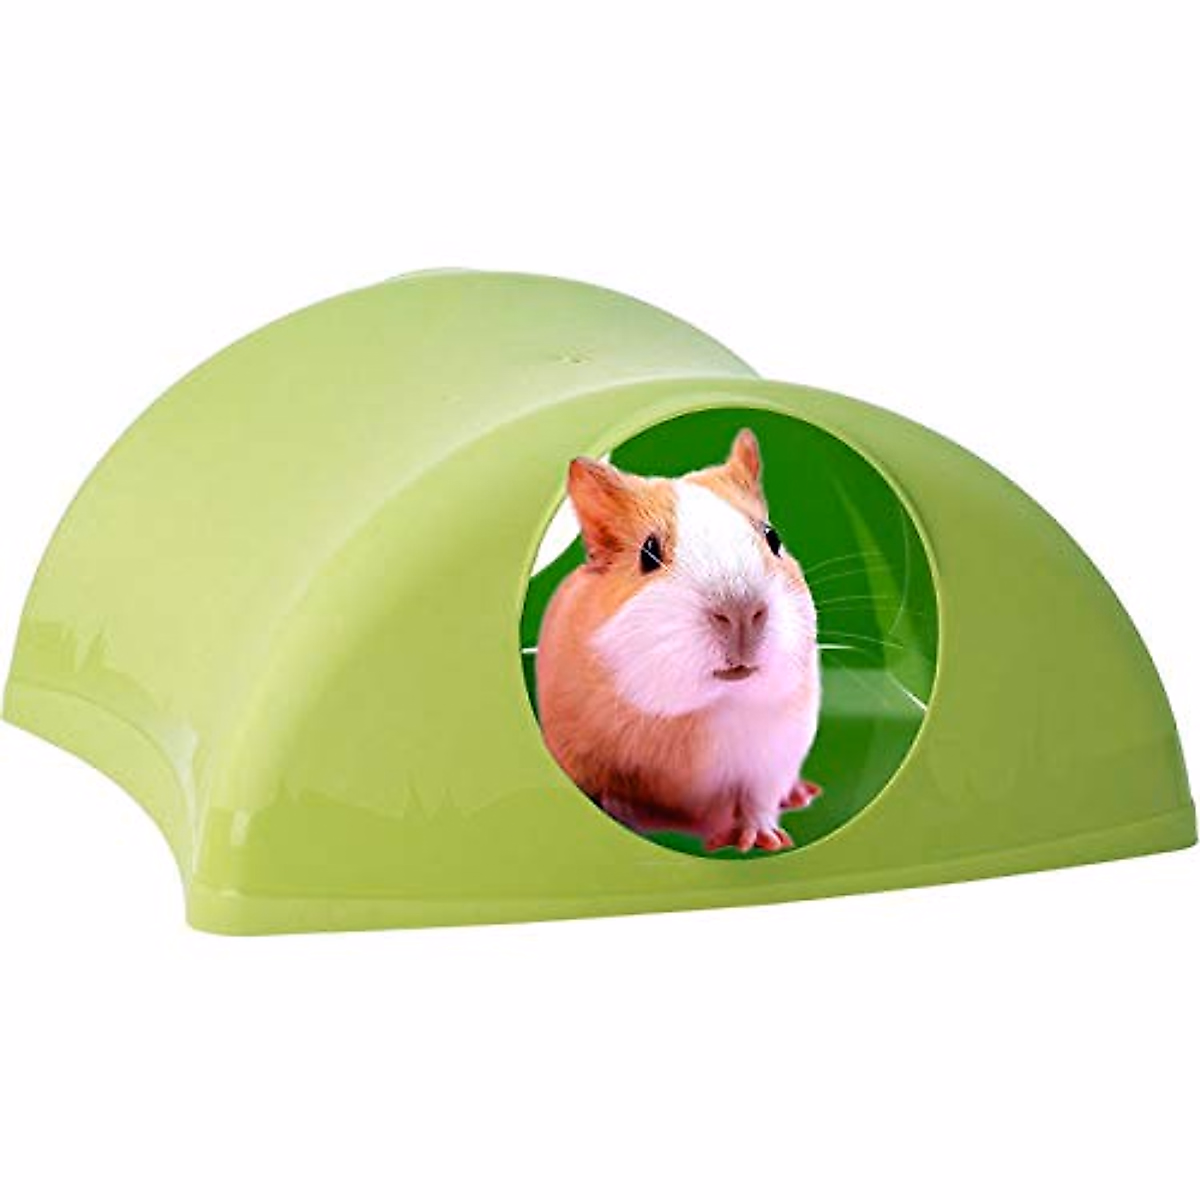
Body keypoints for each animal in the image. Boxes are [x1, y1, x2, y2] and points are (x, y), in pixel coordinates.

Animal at [536, 429, 821, 853]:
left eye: (773, 538)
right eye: (649, 553)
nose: (740, 614)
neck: (702, 709)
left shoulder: (774, 754)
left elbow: (758, 801)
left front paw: (761, 842)